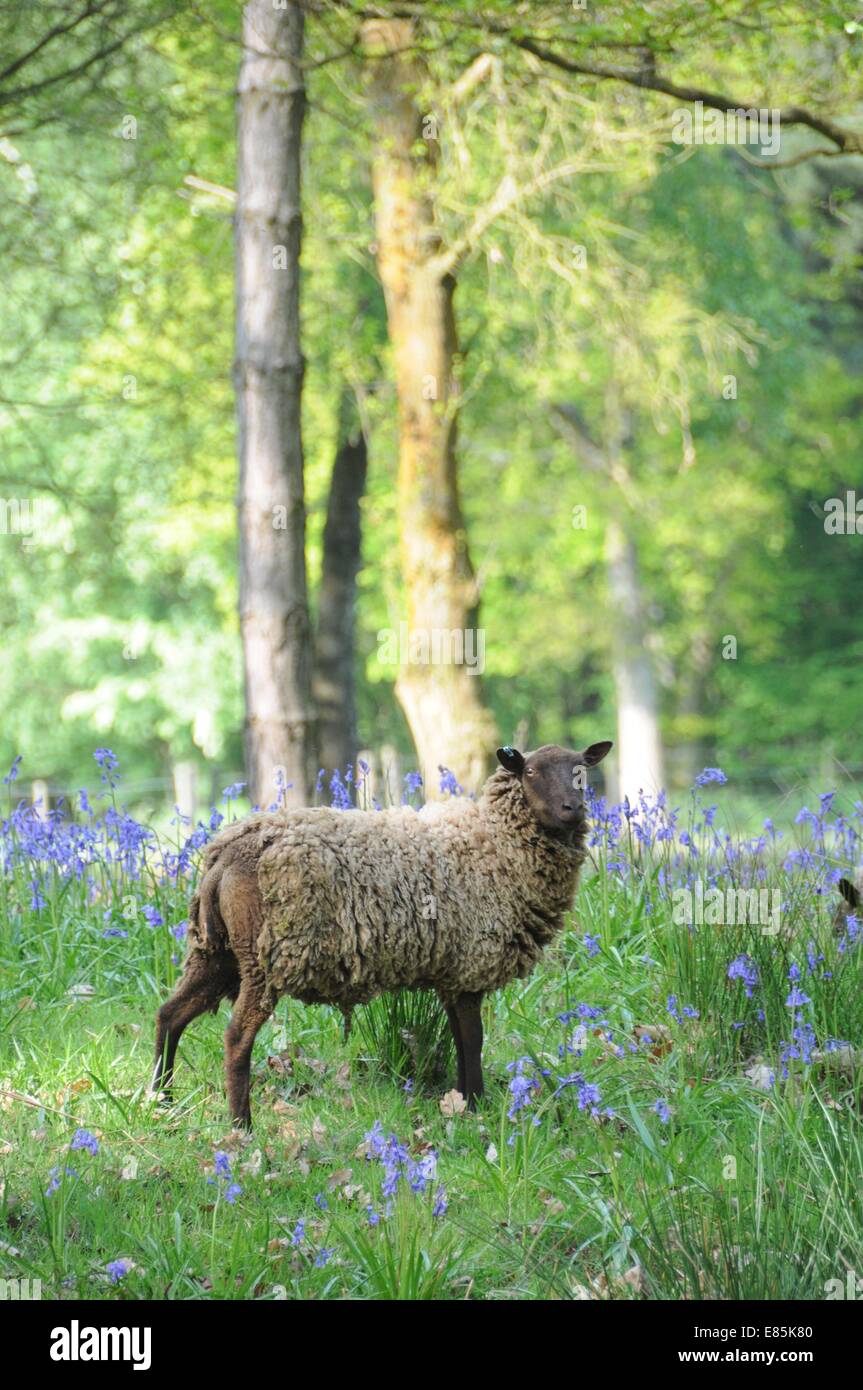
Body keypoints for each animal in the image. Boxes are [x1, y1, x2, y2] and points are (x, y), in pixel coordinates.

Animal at [151, 739, 612, 1127]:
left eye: (581, 771)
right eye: (531, 772)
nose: (572, 807)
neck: (494, 844)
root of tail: (224, 855)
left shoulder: (452, 972)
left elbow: (460, 1040)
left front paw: (462, 1102)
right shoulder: (470, 963)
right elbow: (473, 1039)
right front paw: (478, 1108)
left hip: (216, 951)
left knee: (170, 1014)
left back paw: (162, 1101)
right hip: (263, 957)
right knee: (235, 1038)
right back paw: (241, 1127)